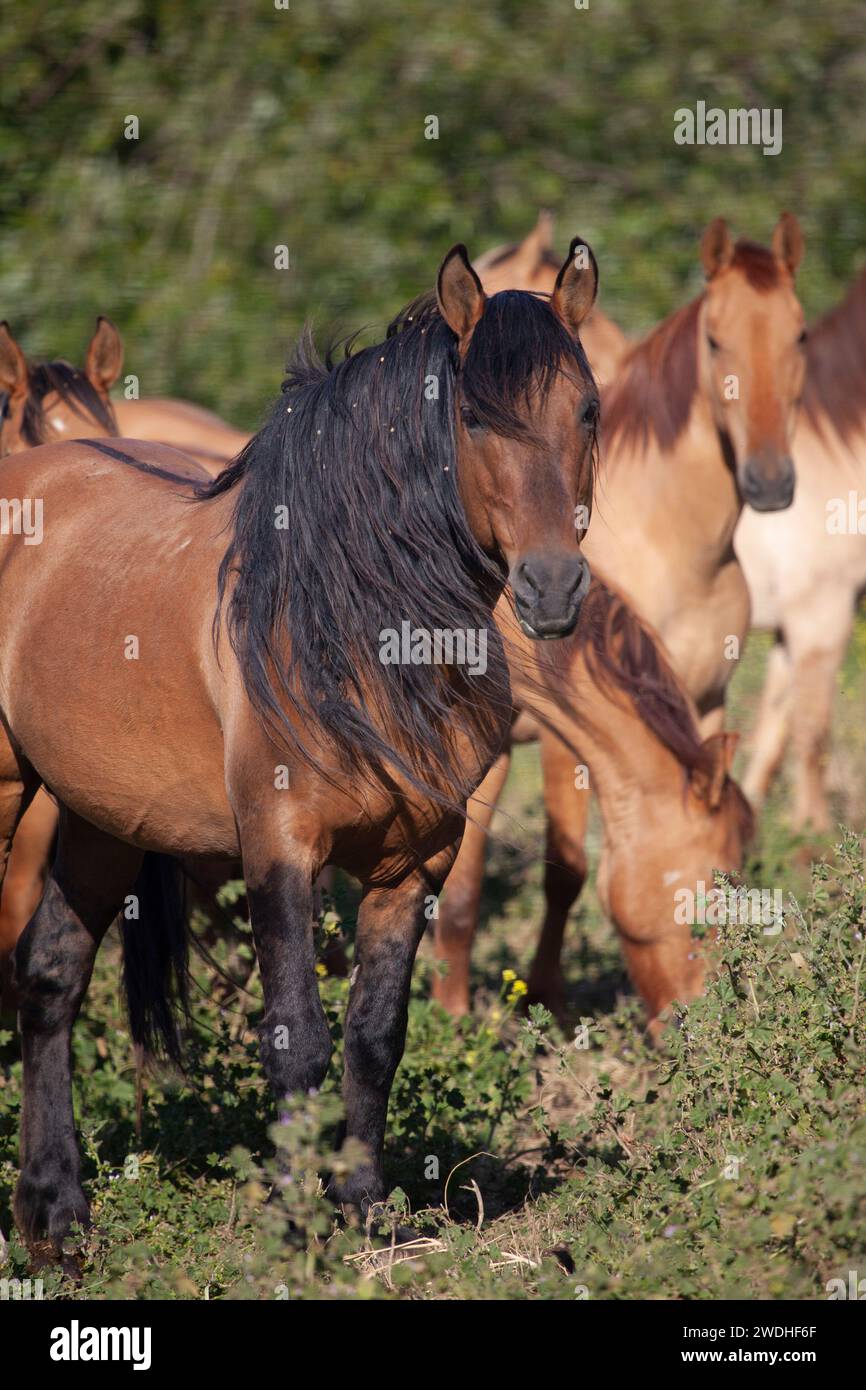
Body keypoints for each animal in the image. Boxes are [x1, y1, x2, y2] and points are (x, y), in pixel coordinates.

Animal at [0, 240, 599, 1255]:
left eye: (589, 410)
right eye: (475, 416)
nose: (553, 588)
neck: (351, 622)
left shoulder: (417, 862)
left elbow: (373, 1034)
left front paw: (363, 1208)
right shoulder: (280, 846)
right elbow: (296, 1039)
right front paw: (293, 1227)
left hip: (103, 818)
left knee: (49, 979)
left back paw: (57, 1213)